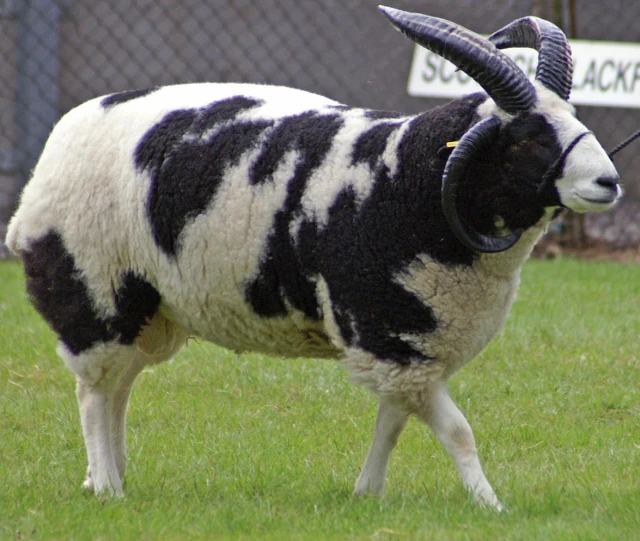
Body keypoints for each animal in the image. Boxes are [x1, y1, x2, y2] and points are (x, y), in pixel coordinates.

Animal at [5, 6, 620, 509]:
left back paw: (106, 477)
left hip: (149, 308)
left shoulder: (403, 343)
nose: (609, 181)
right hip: (92, 292)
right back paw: (109, 487)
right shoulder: (385, 328)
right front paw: (491, 507)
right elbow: (456, 431)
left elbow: (393, 422)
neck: (407, 179)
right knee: (94, 392)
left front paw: (367, 495)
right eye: (525, 138)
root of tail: (61, 137)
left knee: (119, 389)